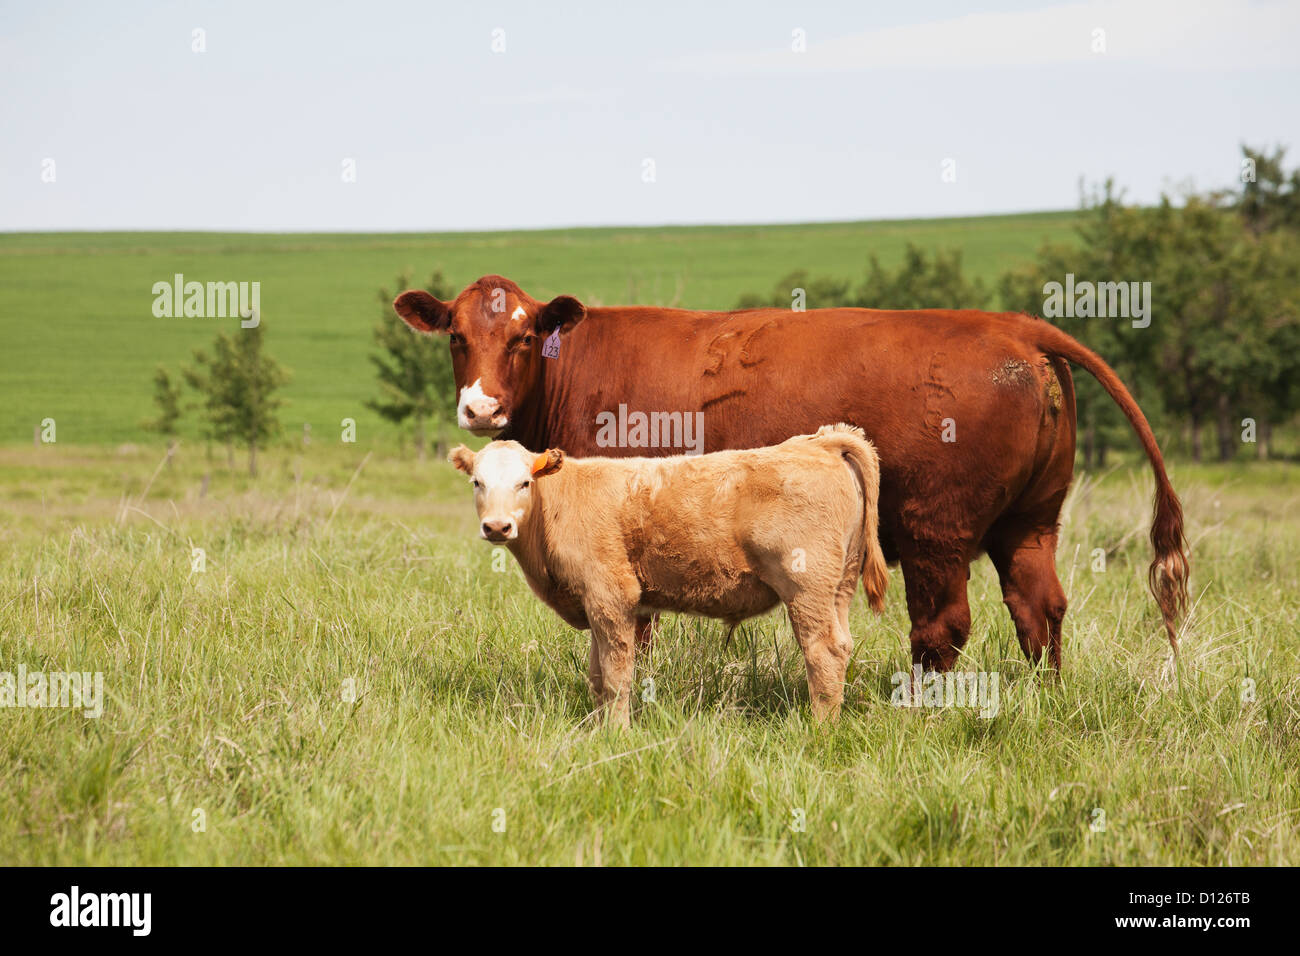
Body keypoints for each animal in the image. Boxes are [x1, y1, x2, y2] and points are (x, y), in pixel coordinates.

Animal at [395, 275, 1190, 672]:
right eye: (457, 336)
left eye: (526, 335)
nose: (481, 406)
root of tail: (1013, 325)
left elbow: (631, 631)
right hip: (1031, 520)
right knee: (1039, 610)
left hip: (936, 529)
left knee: (942, 628)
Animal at [449, 425, 890, 725]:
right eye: (477, 482)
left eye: (524, 482)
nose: (497, 527)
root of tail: (817, 442)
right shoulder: (595, 603)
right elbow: (596, 675)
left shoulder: (612, 595)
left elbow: (616, 675)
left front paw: (618, 733)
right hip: (838, 588)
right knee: (842, 646)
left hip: (806, 588)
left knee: (823, 652)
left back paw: (820, 728)